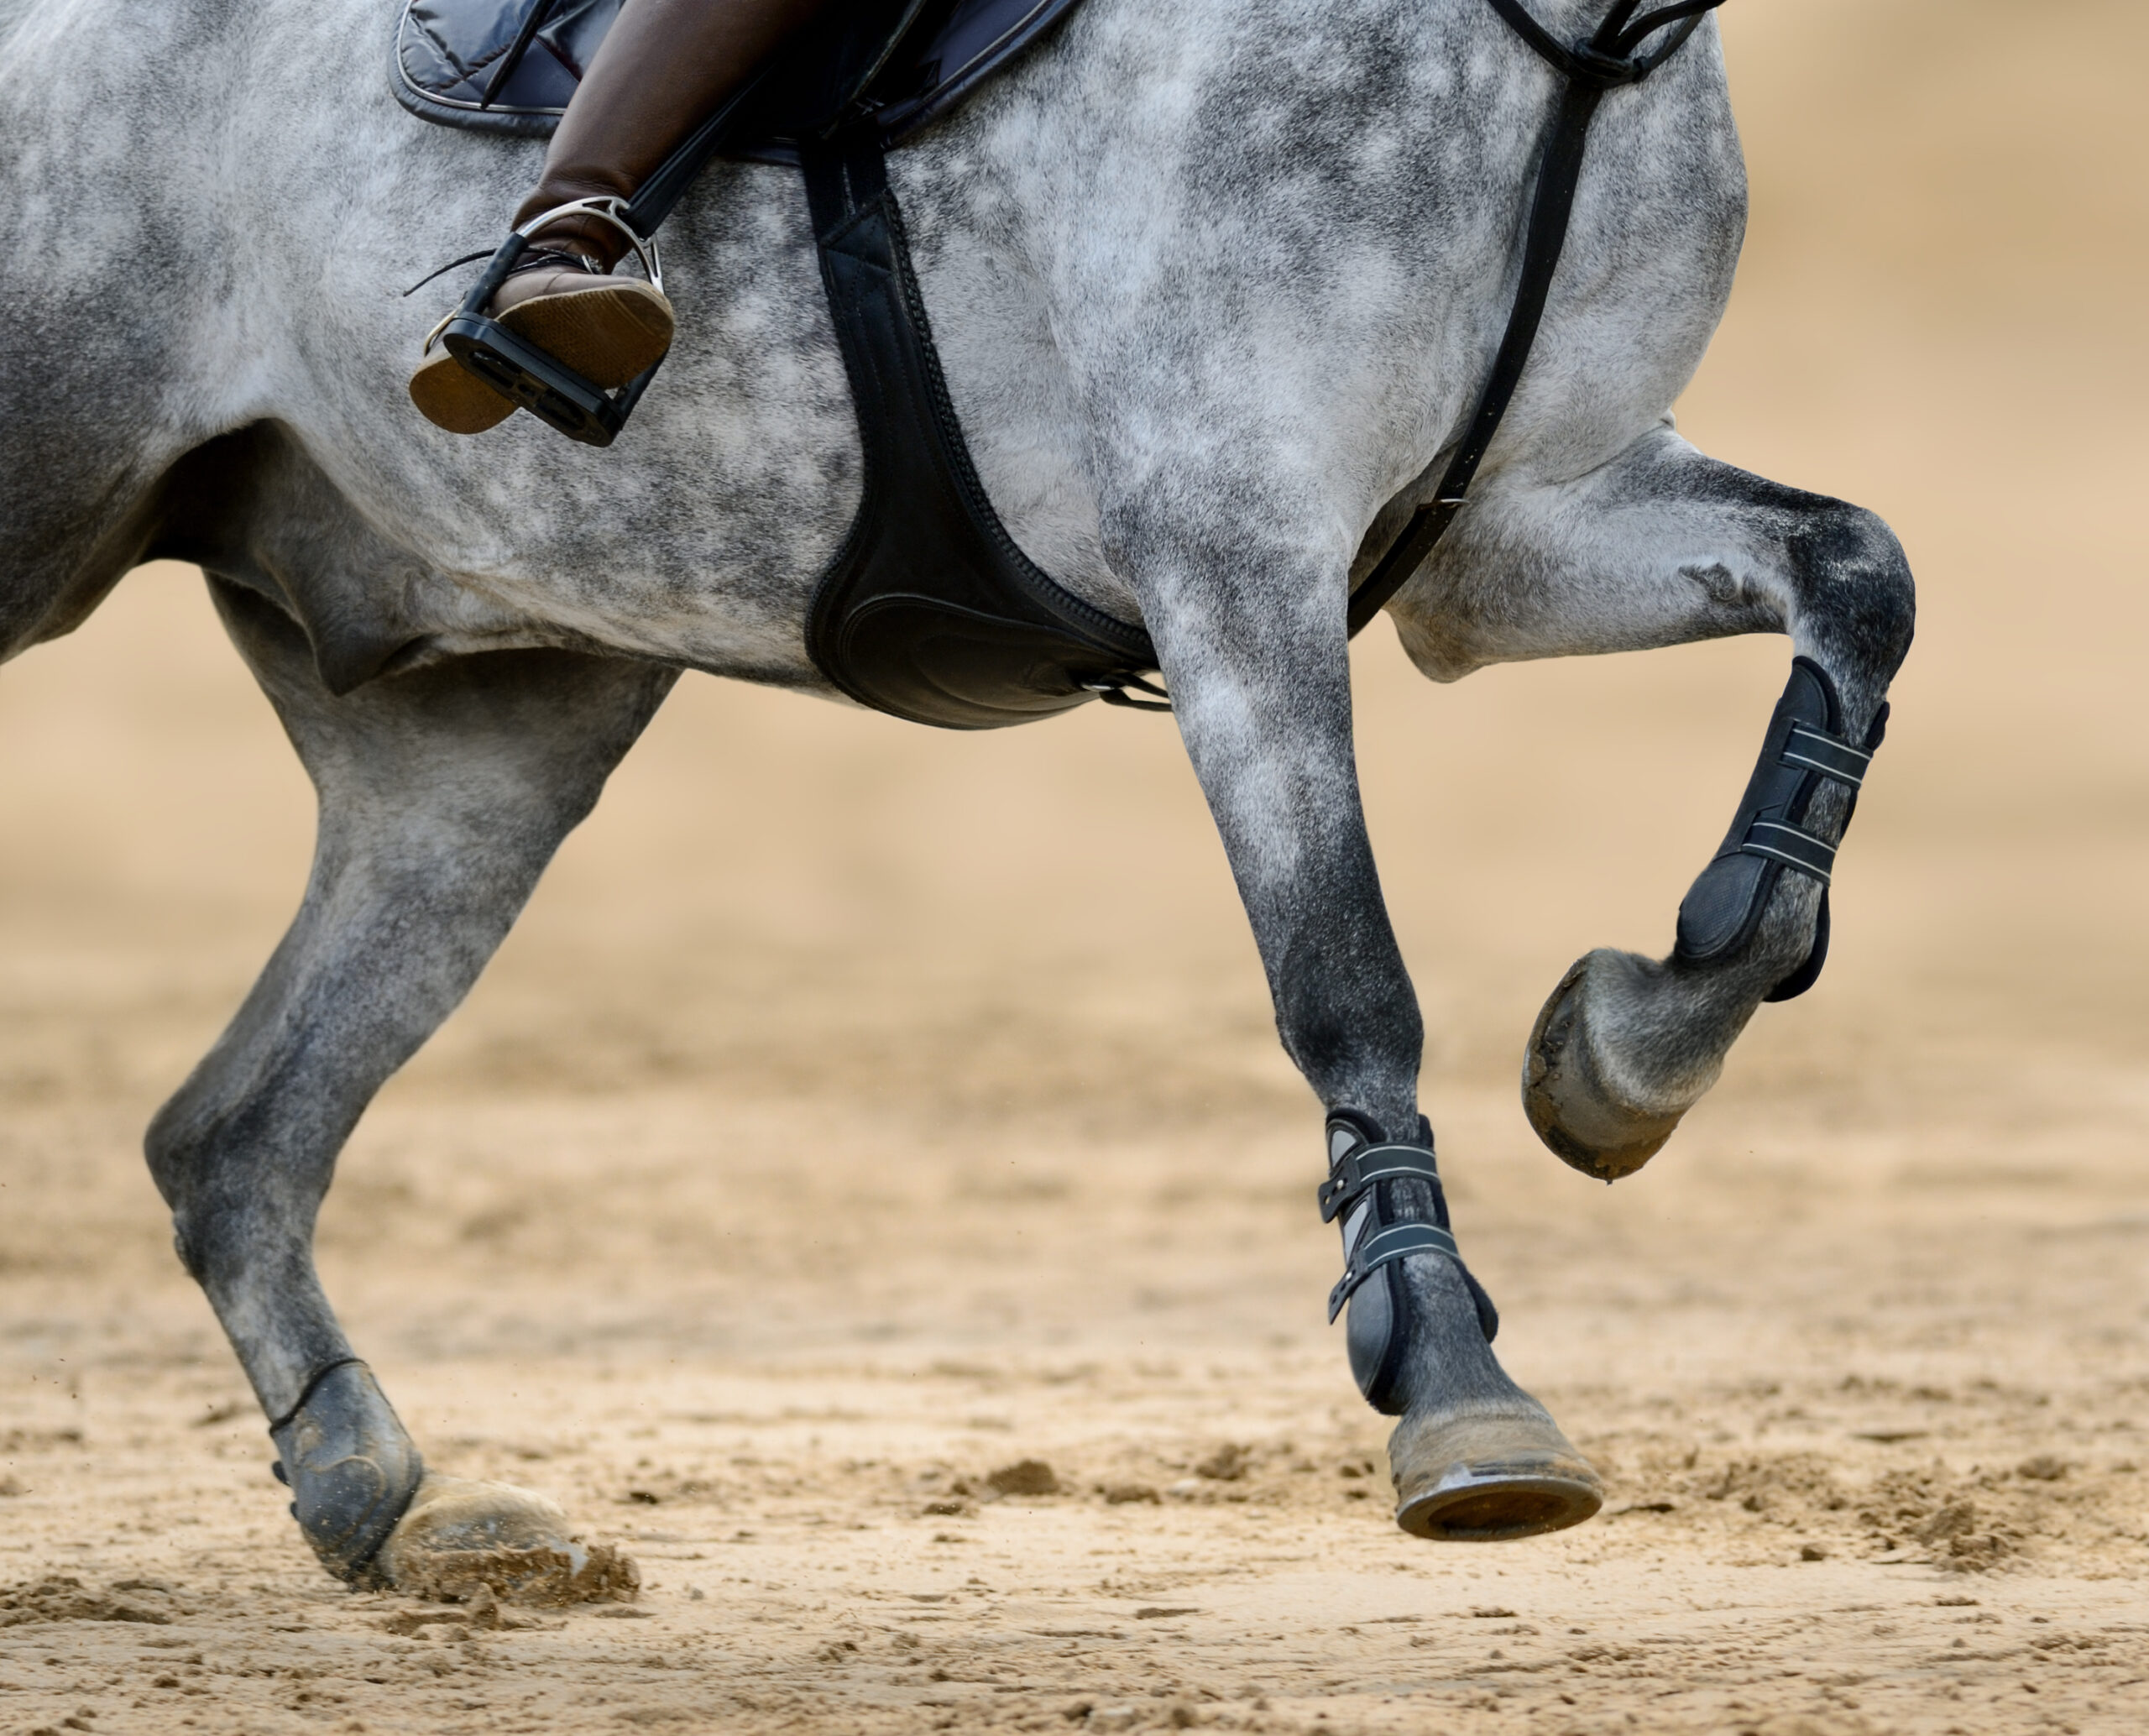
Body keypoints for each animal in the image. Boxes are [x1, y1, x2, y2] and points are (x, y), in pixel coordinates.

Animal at [0, 0, 1912, 1594]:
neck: (1560, 50)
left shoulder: (1509, 530)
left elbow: (1858, 575)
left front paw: (1631, 1046)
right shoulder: (1234, 544)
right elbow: (1345, 974)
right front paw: (1450, 1377)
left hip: (487, 736)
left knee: (234, 1134)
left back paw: (378, 1492)